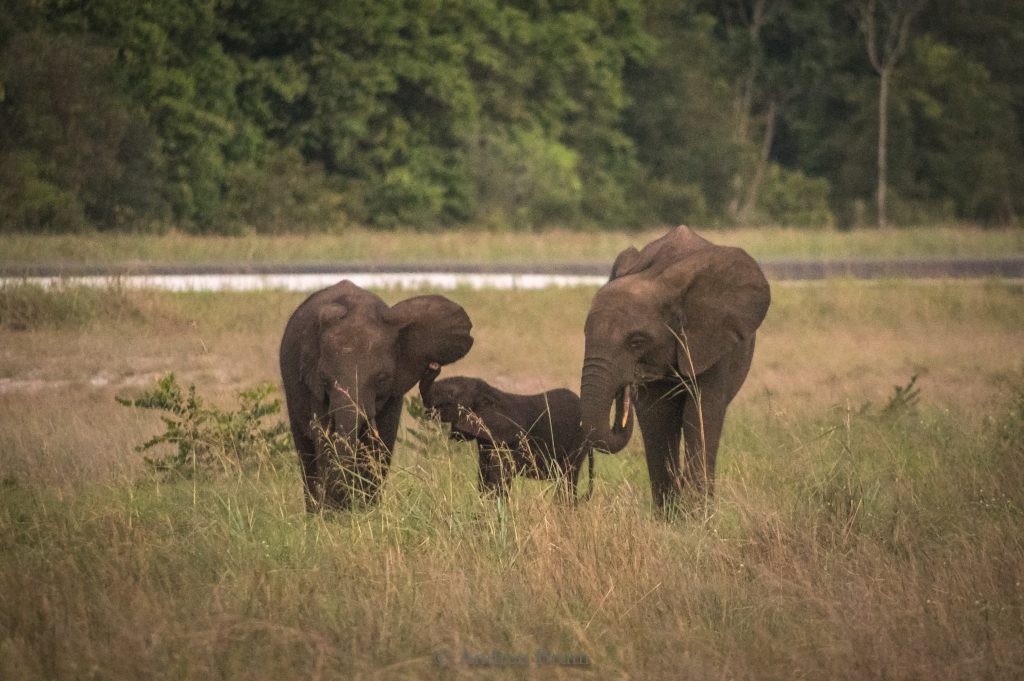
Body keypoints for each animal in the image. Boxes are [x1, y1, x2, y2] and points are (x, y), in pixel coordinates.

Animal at [279, 280, 473, 511]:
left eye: (381, 379)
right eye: (324, 379)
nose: (434, 367)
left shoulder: (393, 392)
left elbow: (380, 445)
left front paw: (367, 511)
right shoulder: (313, 389)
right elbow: (323, 440)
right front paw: (336, 514)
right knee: (306, 454)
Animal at [419, 369, 621, 502]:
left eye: (452, 394)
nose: (434, 366)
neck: (490, 393)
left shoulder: (509, 440)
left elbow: (498, 480)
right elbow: (484, 480)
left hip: (577, 442)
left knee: (566, 480)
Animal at [579, 225, 770, 511]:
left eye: (636, 342)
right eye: (585, 334)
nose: (625, 390)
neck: (657, 278)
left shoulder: (711, 340)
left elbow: (699, 413)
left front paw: (698, 516)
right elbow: (657, 419)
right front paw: (671, 515)